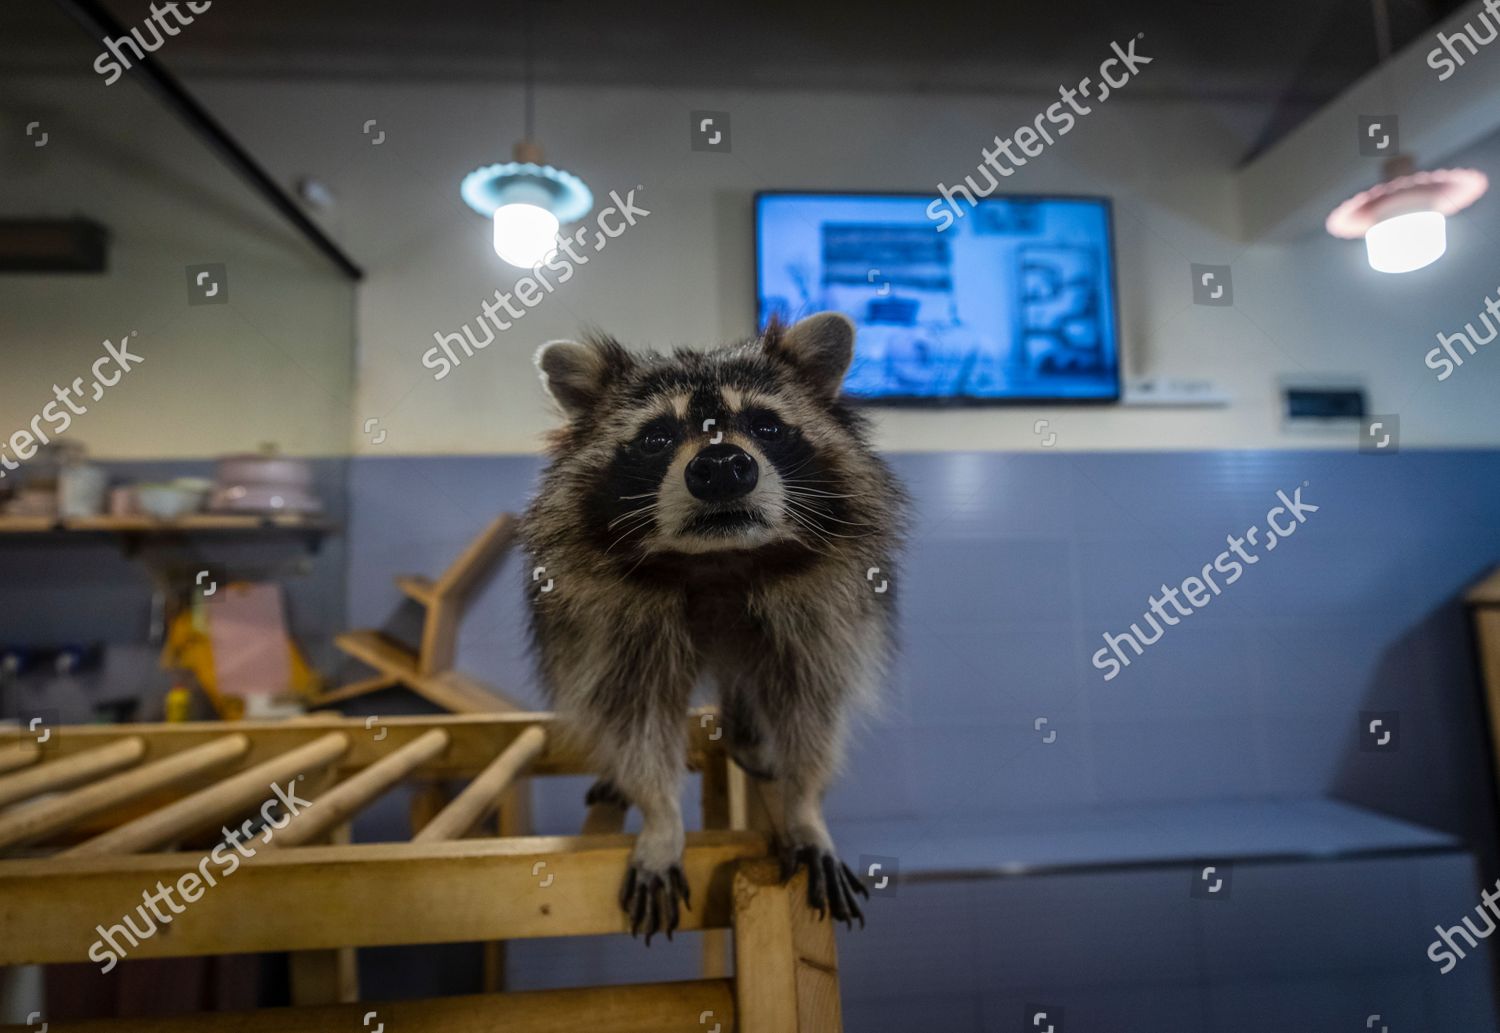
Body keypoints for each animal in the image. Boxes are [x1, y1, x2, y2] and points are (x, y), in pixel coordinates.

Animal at [522, 312, 906, 942]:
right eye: (655, 437)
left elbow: (810, 713)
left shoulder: (820, 619)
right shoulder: (615, 625)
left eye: (766, 425)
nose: (722, 466)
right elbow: (635, 720)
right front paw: (660, 820)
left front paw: (806, 810)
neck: (718, 560)